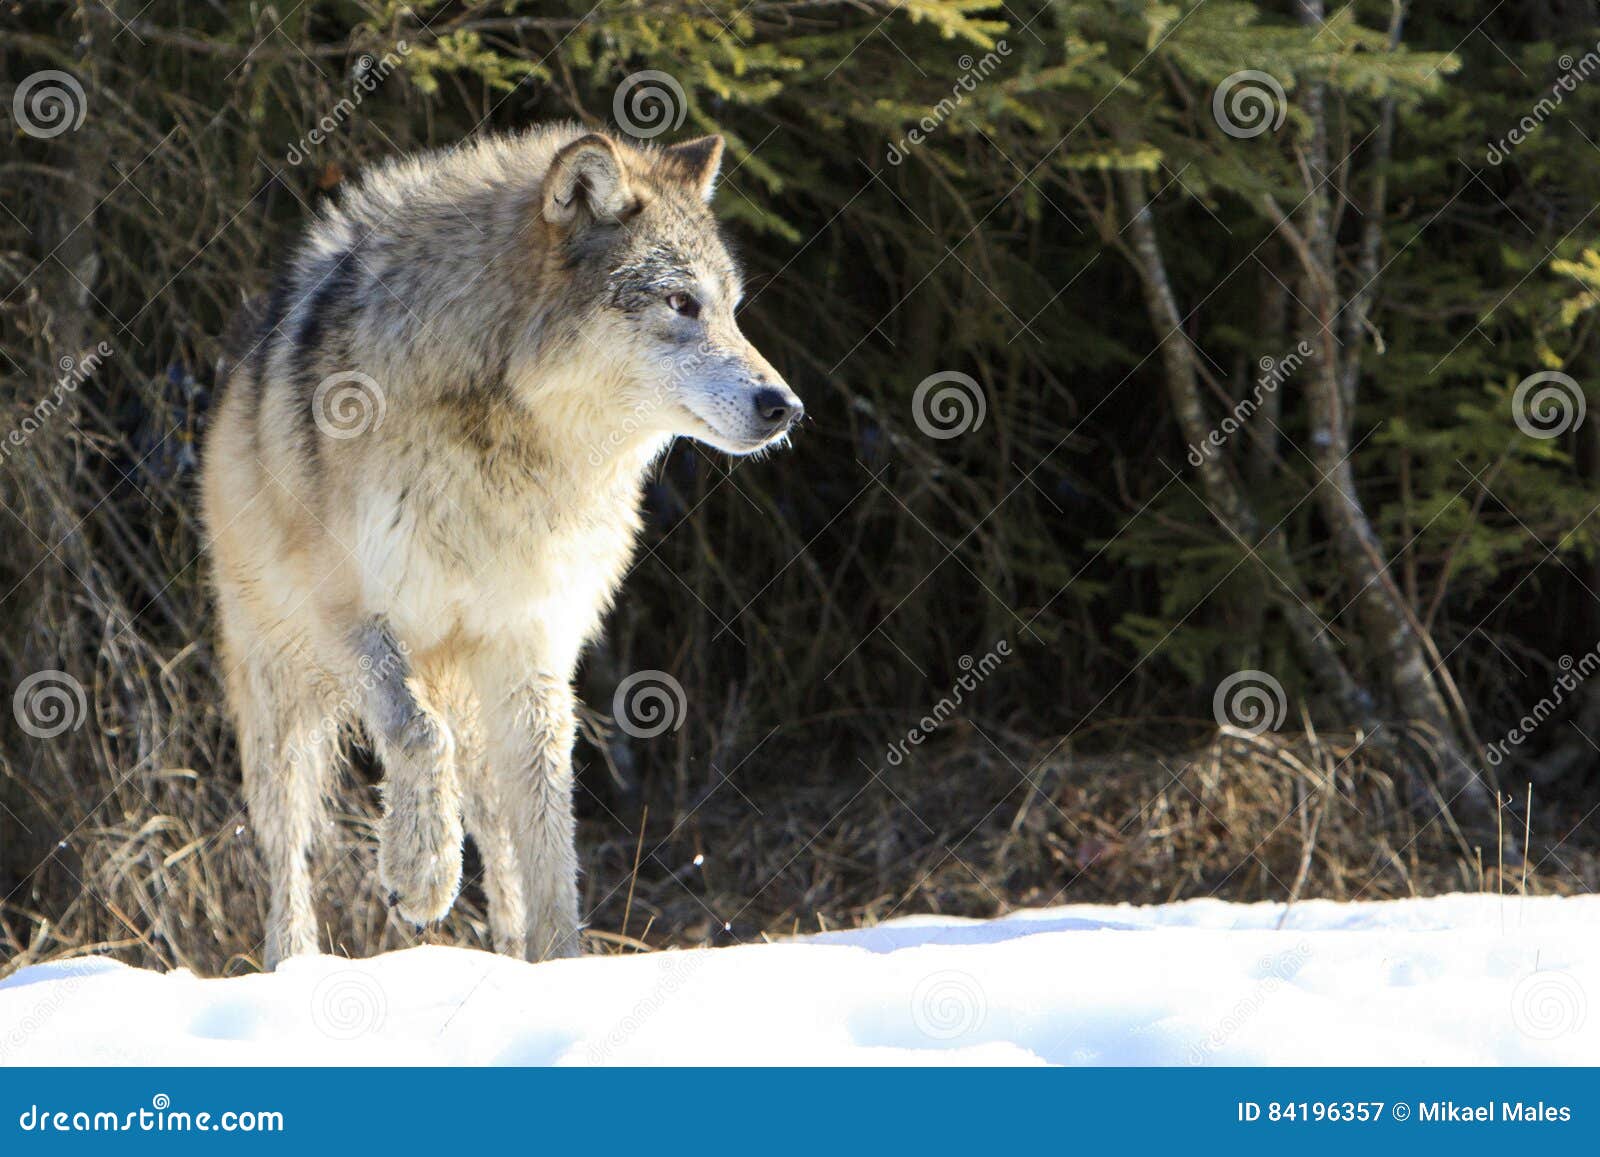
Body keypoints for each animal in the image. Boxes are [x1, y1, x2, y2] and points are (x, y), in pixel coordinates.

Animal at [201, 123, 803, 968]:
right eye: (680, 303)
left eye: (733, 311)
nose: (786, 405)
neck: (501, 431)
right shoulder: (347, 616)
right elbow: (416, 731)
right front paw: (421, 874)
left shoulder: (531, 647)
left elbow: (552, 840)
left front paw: (558, 965)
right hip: (278, 701)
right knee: (291, 848)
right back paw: (292, 963)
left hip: (479, 709)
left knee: (498, 830)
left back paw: (508, 952)